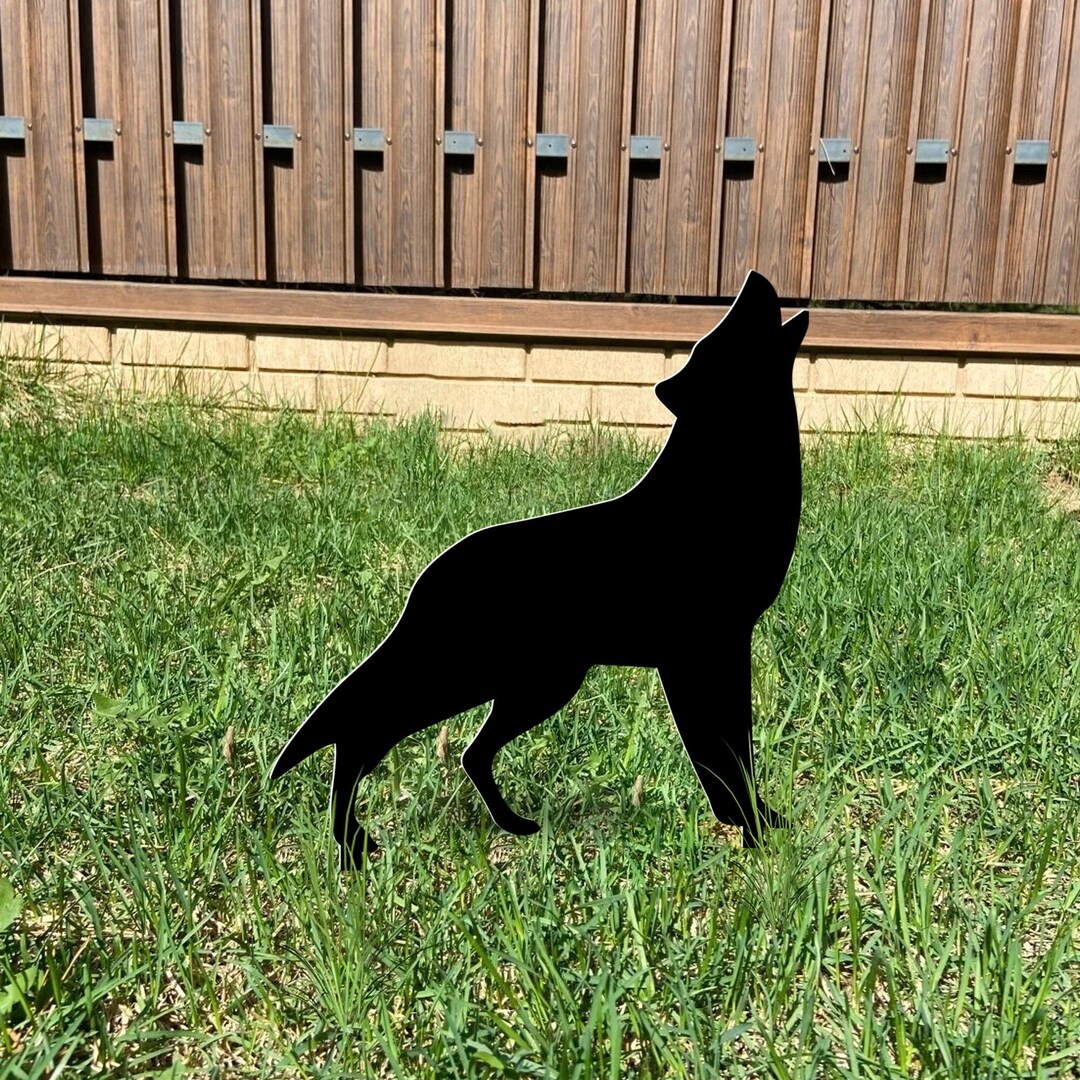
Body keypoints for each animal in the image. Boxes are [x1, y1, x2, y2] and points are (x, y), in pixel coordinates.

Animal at [269, 269, 808, 867]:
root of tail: (427, 580)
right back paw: (352, 846)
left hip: (536, 683)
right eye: (719, 338)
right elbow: (721, 750)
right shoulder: (703, 652)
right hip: (470, 674)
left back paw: (507, 826)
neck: (719, 485)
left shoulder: (713, 651)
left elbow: (722, 751)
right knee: (362, 731)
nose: (753, 277)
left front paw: (754, 822)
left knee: (463, 751)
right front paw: (753, 828)